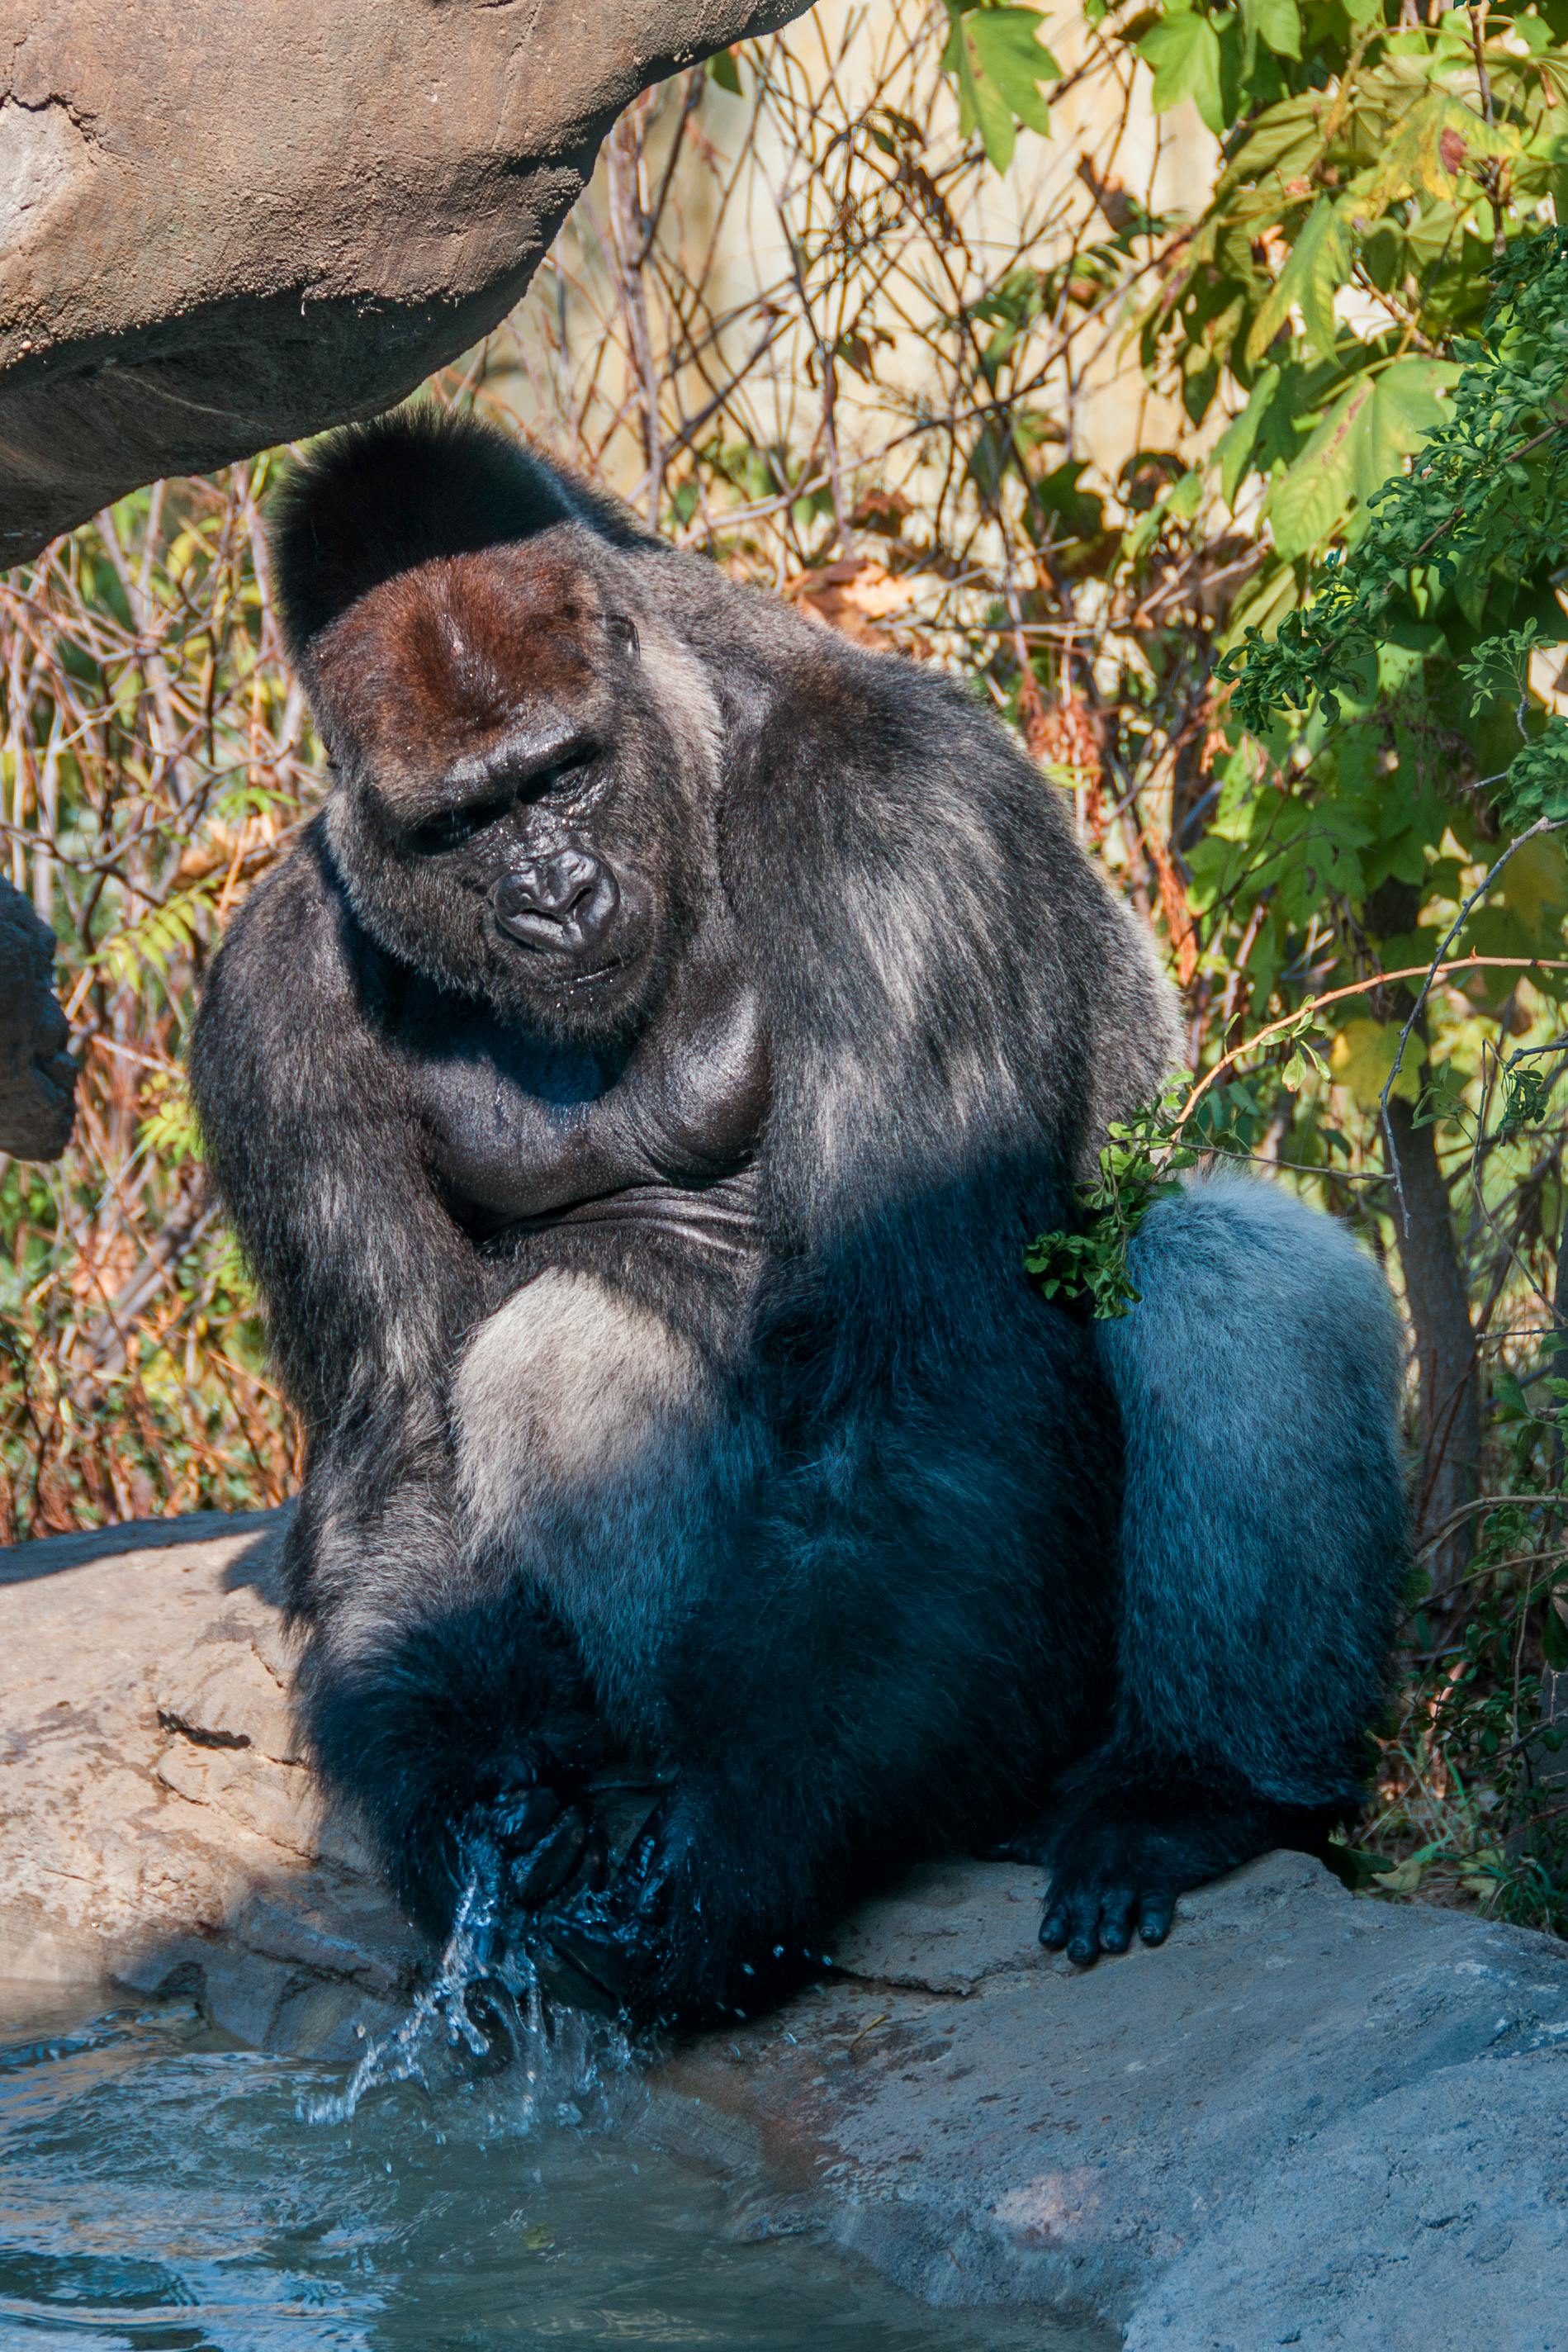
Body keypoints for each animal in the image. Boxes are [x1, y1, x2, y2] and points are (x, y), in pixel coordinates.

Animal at [190, 409, 1408, 2024]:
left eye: (559, 778)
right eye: (463, 823)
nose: (555, 898)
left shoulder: (898, 839)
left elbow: (929, 1361)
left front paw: (740, 1849)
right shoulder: (272, 1007)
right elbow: (396, 1436)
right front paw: (473, 1817)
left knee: (1215, 1259)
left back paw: (1189, 1790)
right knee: (564, 1358)